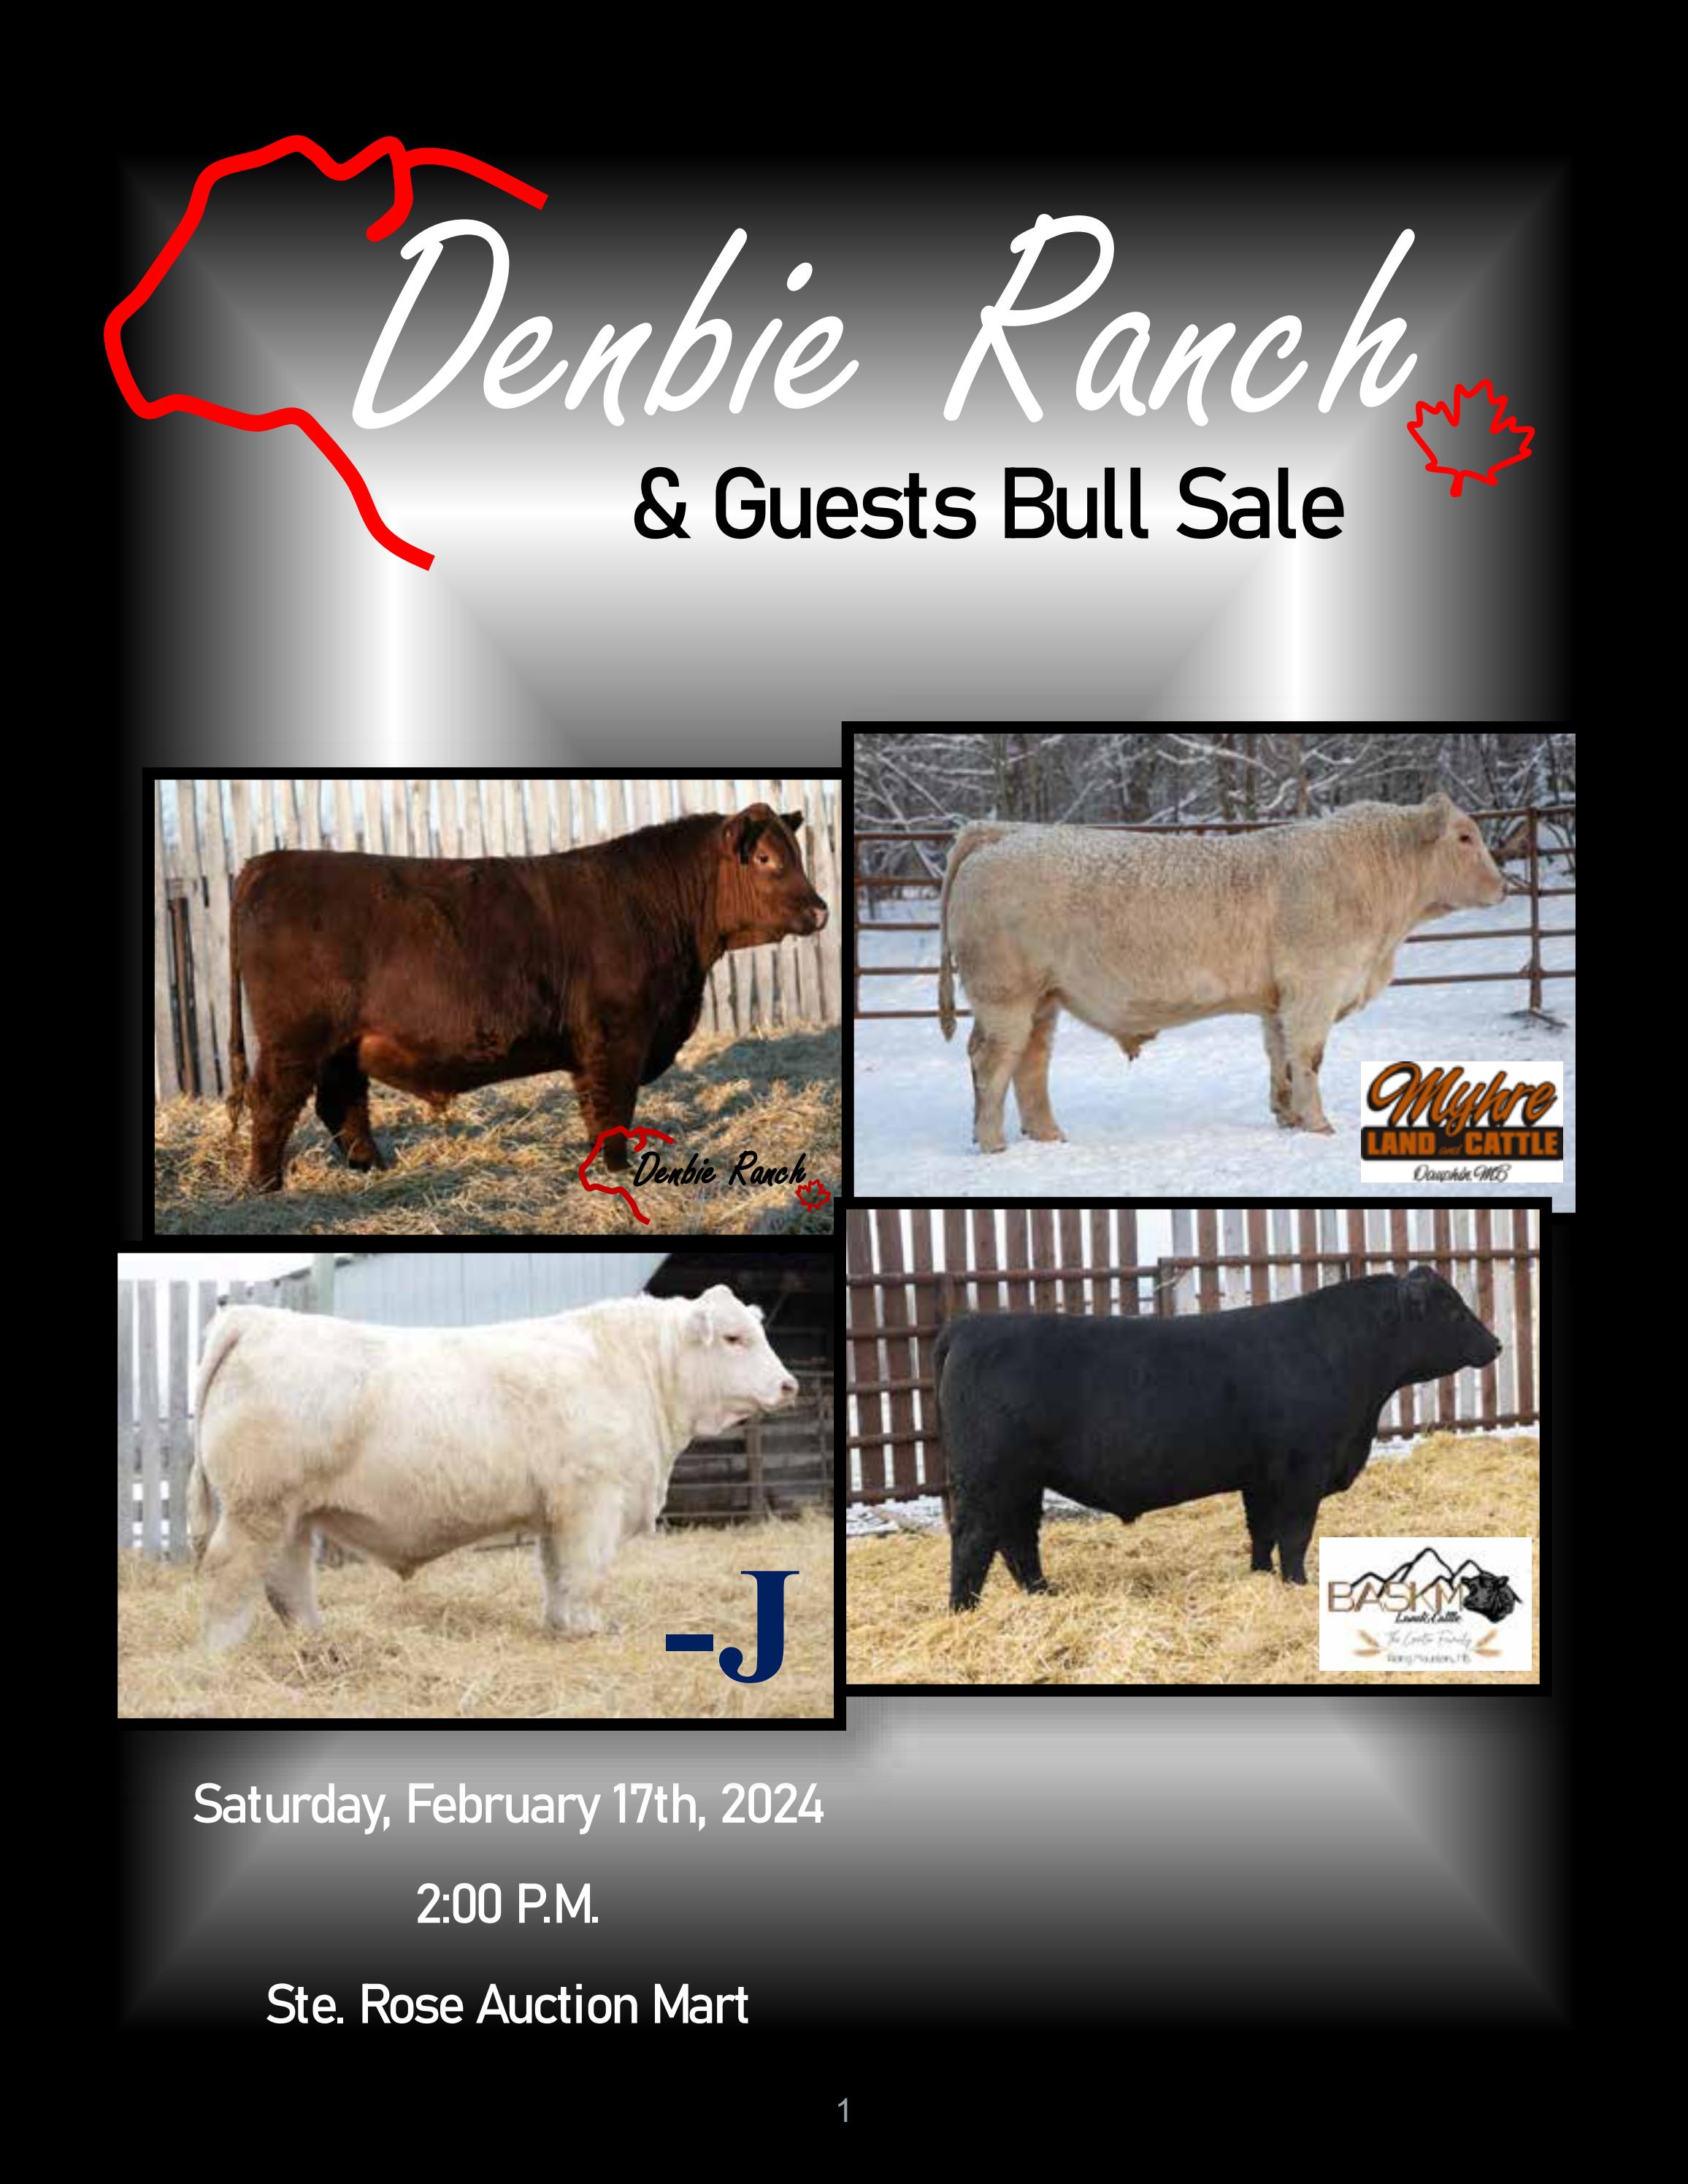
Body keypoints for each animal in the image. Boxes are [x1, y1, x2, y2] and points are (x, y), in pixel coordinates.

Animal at [187, 1286, 800, 1653]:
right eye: (734, 1337)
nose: (789, 1385)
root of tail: (258, 1319)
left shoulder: (557, 1510)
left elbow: (557, 1574)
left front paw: (562, 1627)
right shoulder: (593, 1500)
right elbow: (587, 1573)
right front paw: (589, 1630)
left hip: (290, 1512)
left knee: (287, 1578)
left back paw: (316, 1643)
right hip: (257, 1504)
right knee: (230, 1575)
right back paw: (221, 1655)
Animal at [226, 804, 827, 1191]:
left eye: (795, 852)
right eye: (767, 860)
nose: (820, 909)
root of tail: (267, 863)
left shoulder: (593, 1045)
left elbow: (595, 1107)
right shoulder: (619, 1033)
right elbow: (615, 1105)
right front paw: (618, 1171)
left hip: (342, 1046)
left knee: (341, 1104)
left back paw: (374, 1168)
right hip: (296, 1038)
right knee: (274, 1102)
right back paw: (266, 1186)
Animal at [934, 1267, 1503, 1610]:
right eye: (1454, 1310)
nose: (1496, 1344)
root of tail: (969, 1326)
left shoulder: (1261, 1477)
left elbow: (1262, 1533)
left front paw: (1260, 1577)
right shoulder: (1304, 1468)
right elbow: (1295, 1534)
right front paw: (1297, 1586)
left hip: (1021, 1480)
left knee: (1018, 1539)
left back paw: (1043, 1595)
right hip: (988, 1474)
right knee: (974, 1539)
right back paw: (964, 1610)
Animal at [936, 795, 1506, 1151]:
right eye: (1464, 837)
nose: (1504, 886)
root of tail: (998, 833)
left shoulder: (1279, 999)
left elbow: (1281, 1057)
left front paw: (1288, 1117)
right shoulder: (1314, 987)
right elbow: (1309, 1058)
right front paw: (1319, 1125)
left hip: (1042, 999)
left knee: (1030, 1065)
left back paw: (1046, 1135)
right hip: (1006, 995)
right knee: (992, 1063)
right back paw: (993, 1142)